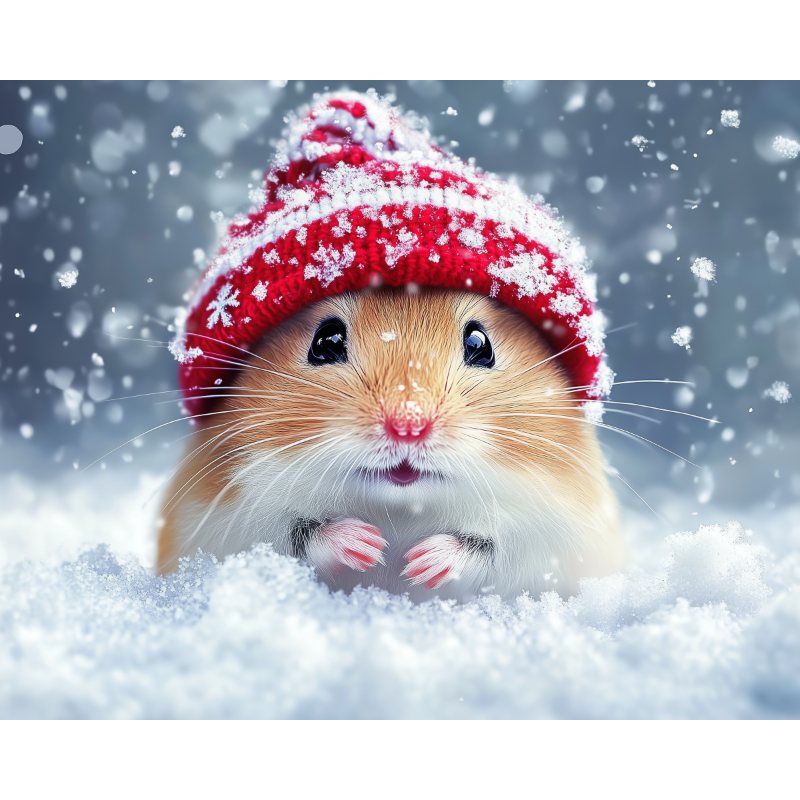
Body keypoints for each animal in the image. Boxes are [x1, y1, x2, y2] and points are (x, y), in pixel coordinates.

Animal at [157, 286, 624, 601]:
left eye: (480, 343)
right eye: (326, 340)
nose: (408, 426)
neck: (400, 509)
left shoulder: (550, 532)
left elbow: (486, 547)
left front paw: (419, 564)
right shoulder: (228, 518)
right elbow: (300, 533)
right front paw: (369, 547)